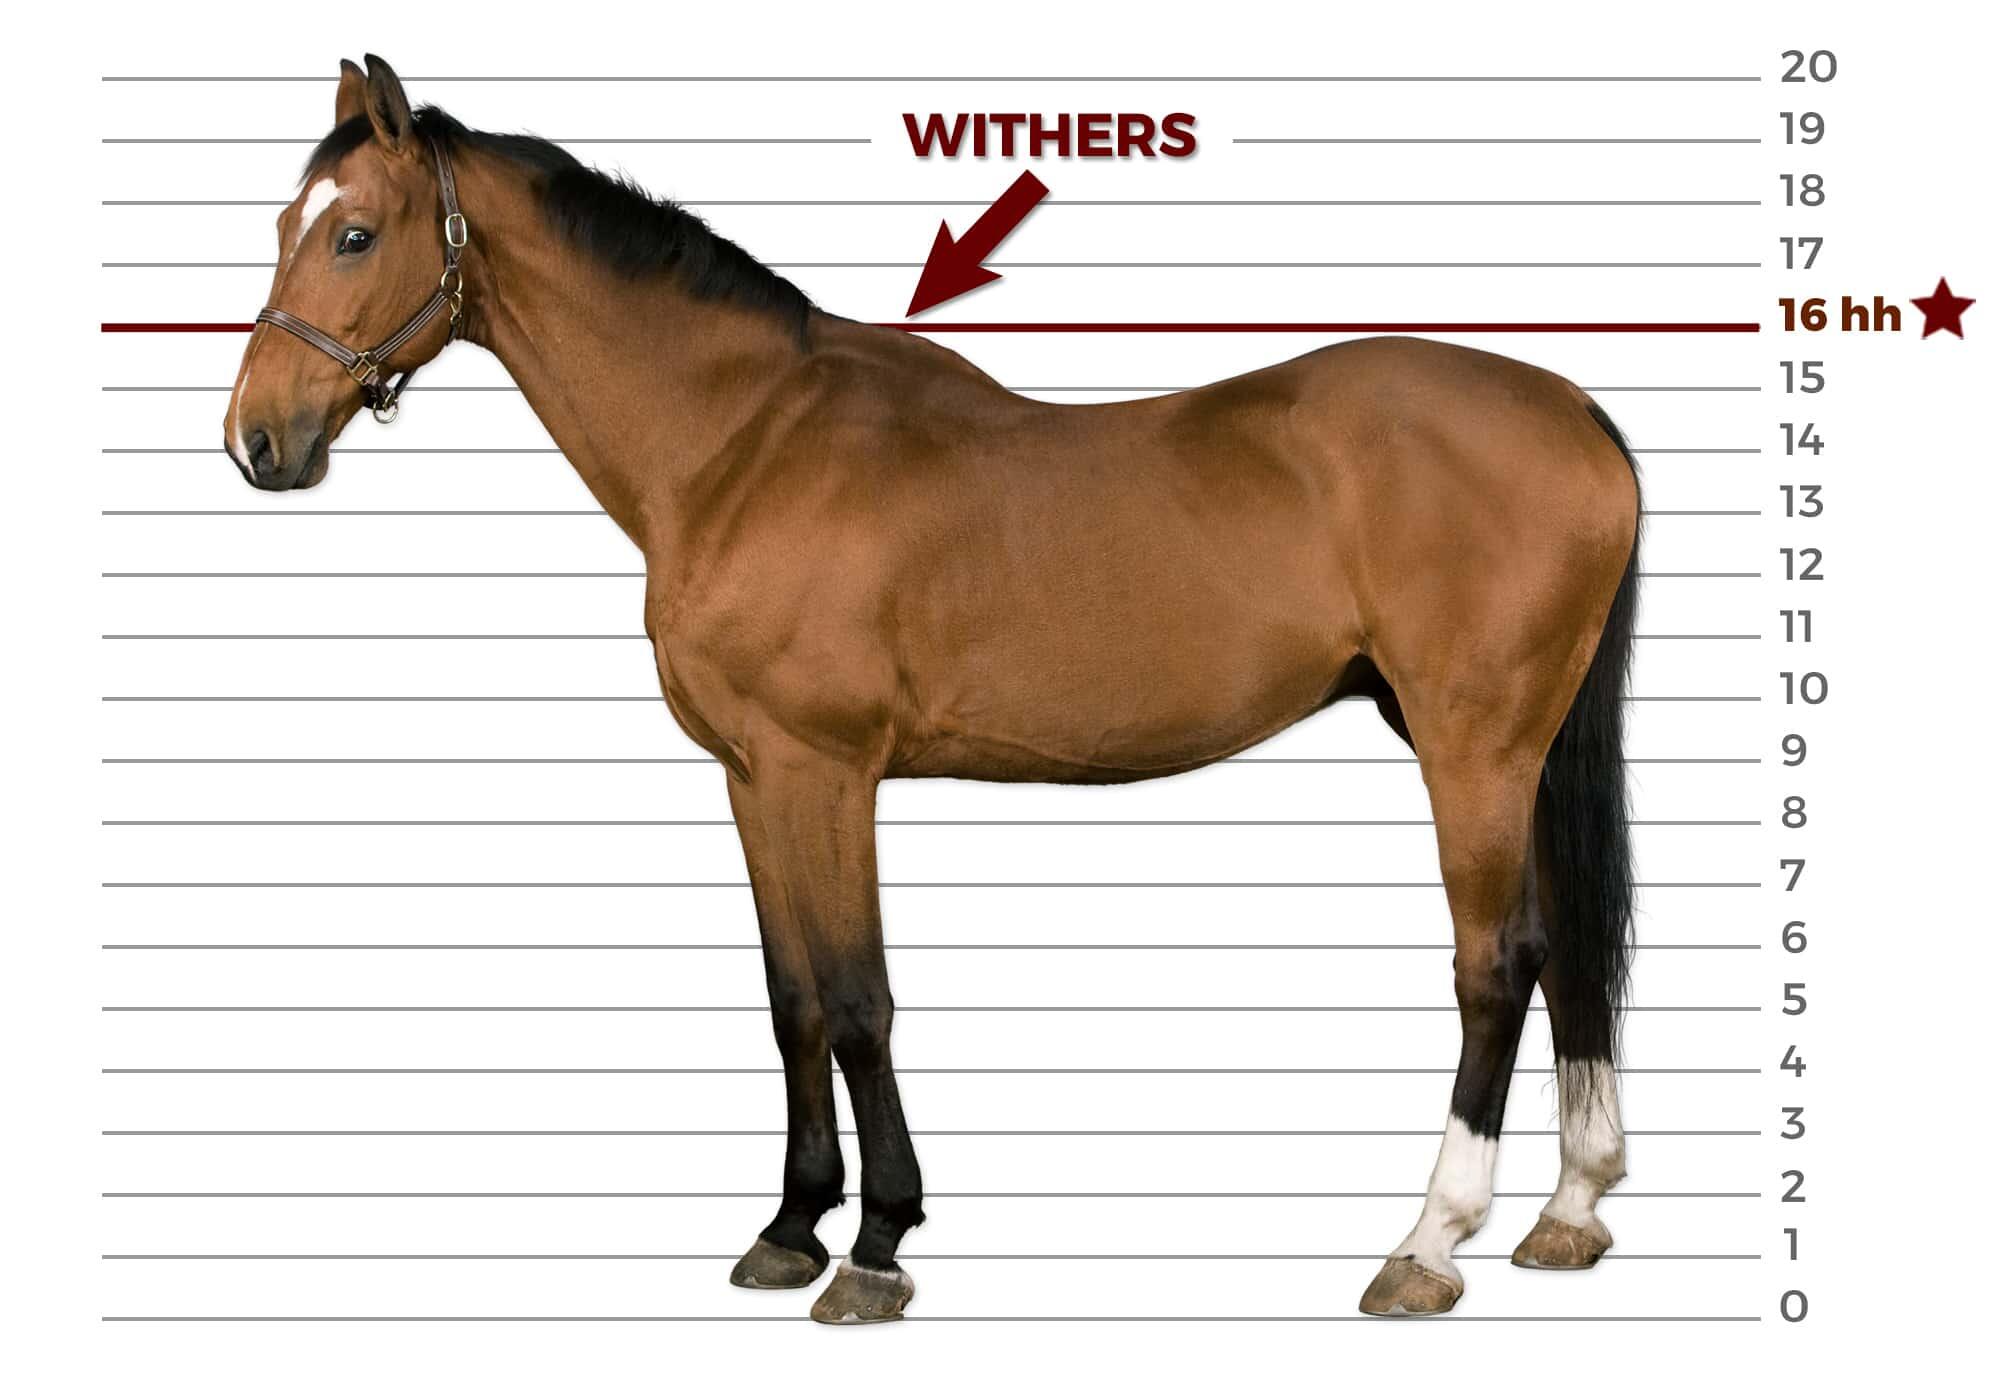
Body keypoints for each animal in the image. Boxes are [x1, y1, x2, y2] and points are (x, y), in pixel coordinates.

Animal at [222, 55, 1641, 1323]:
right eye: (286, 225)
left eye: (353, 232)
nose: (257, 441)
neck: (743, 445)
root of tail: (1570, 406)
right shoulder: (753, 780)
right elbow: (792, 999)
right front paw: (789, 1228)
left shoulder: (824, 770)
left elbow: (858, 1002)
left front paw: (875, 1250)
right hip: (1517, 746)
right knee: (1565, 947)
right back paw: (1567, 1213)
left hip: (1469, 746)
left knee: (1493, 964)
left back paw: (1427, 1244)